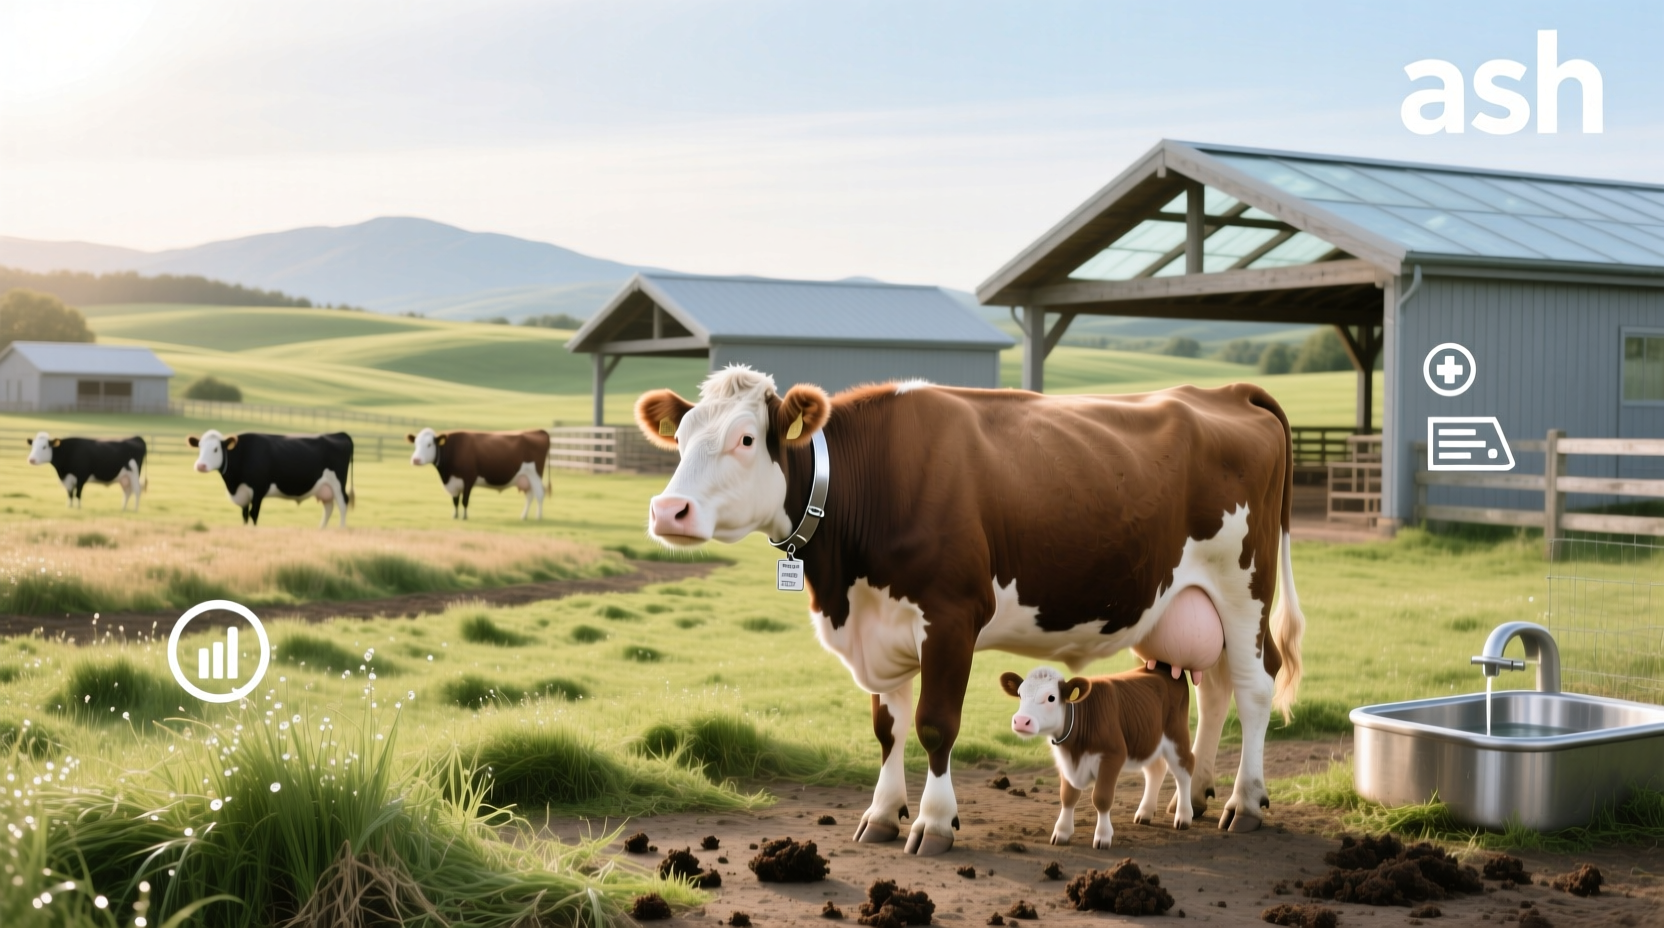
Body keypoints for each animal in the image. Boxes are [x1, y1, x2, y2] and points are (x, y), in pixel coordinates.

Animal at [188, 430, 354, 527]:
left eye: (216, 449)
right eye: (200, 447)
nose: (200, 465)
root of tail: (339, 434)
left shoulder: (258, 490)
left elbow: (253, 514)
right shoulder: (244, 493)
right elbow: (244, 515)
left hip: (338, 483)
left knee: (342, 504)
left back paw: (341, 530)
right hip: (324, 487)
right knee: (329, 507)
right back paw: (321, 530)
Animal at [406, 428, 551, 520]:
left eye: (429, 444)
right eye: (415, 444)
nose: (416, 460)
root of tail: (538, 431)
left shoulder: (469, 479)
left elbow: (464, 501)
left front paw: (464, 517)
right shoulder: (454, 482)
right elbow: (455, 501)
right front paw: (455, 516)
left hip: (535, 474)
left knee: (539, 495)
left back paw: (538, 517)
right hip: (525, 478)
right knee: (530, 496)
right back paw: (524, 516)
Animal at [1002, 665, 1195, 850]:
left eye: (1051, 698)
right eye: (1019, 694)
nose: (1021, 721)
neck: (1075, 749)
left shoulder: (1112, 756)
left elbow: (1101, 798)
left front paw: (1103, 837)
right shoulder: (1065, 761)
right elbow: (1068, 796)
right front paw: (1062, 832)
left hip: (1176, 735)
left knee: (1184, 769)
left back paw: (1184, 816)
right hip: (1148, 739)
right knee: (1156, 770)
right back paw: (1145, 813)